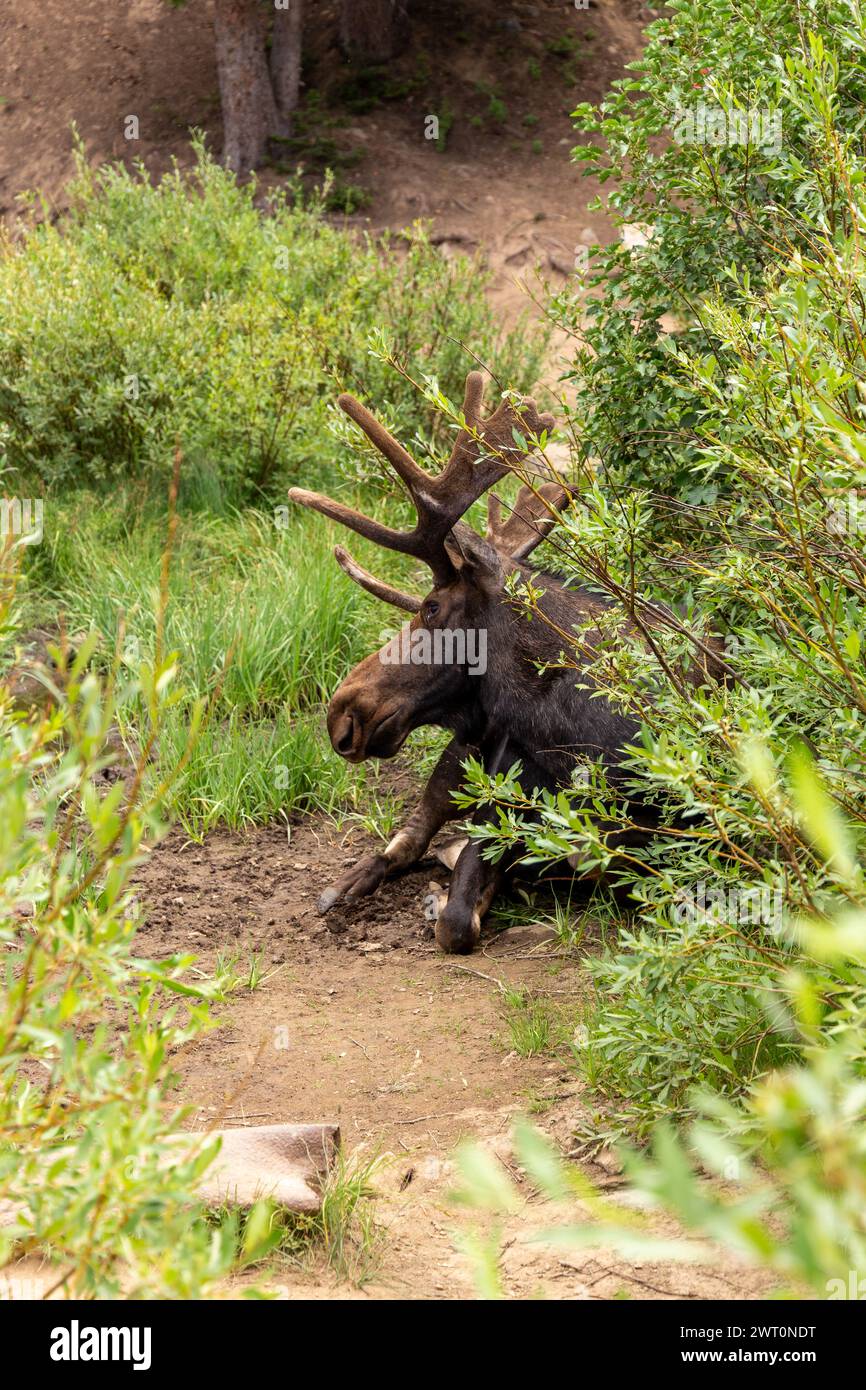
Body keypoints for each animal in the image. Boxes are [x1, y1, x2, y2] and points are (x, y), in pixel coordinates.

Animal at [290, 371, 722, 954]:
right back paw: (348, 886)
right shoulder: (496, 800)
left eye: (431, 607)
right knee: (406, 839)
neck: (587, 739)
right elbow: (457, 915)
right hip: (457, 758)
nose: (341, 712)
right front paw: (445, 894)